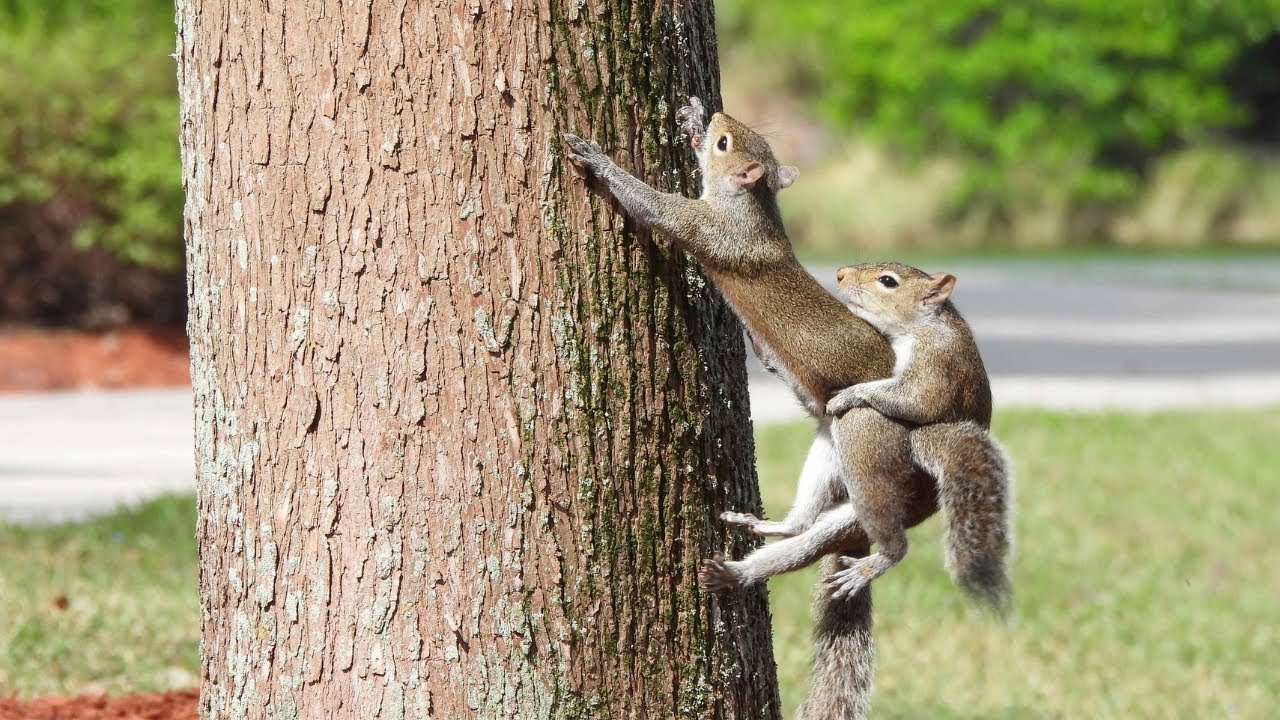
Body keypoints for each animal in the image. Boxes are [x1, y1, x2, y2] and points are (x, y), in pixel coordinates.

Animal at [563, 98, 942, 720]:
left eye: (725, 147)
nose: (718, 118)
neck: (753, 208)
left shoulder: (704, 228)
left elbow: (651, 205)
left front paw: (597, 158)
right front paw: (690, 114)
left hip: (873, 444)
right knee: (806, 525)